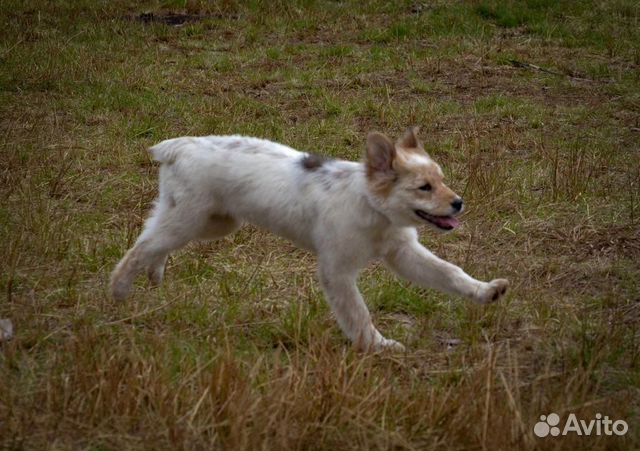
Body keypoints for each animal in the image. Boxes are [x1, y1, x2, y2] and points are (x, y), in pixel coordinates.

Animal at [111, 129, 510, 352]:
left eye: (441, 179)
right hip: (190, 220)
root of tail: (181, 146)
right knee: (139, 249)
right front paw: (377, 346)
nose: (458, 202)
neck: (372, 208)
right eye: (424, 187)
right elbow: (358, 314)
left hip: (210, 222)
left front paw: (486, 291)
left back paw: (154, 276)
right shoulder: (336, 272)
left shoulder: (404, 254)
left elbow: (450, 273)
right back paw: (118, 294)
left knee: (151, 239)